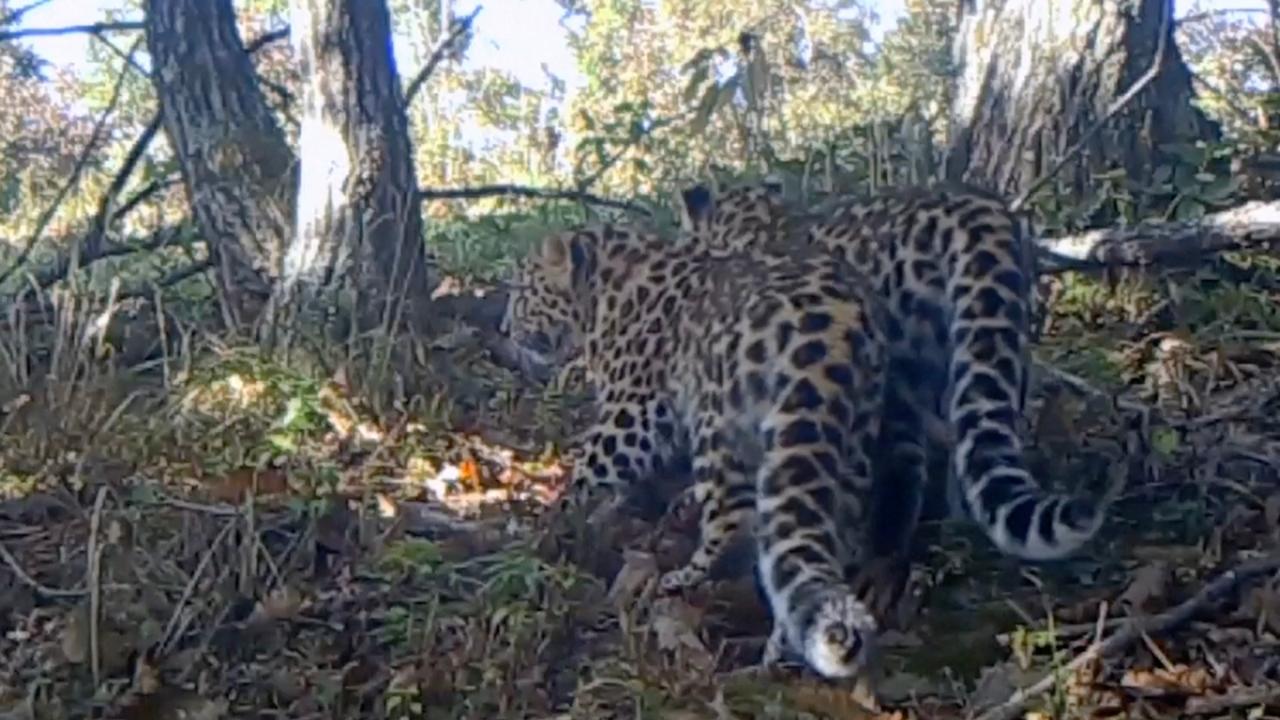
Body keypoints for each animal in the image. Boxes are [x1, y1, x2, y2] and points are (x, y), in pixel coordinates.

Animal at [499, 221, 894, 679]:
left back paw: (687, 579)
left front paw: (550, 523)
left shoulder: (634, 411)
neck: (602, 296)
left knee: (734, 516)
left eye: (523, 291)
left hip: (719, 421)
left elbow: (591, 467)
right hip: (851, 437)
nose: (504, 330)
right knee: (822, 537)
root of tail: (833, 332)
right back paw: (782, 653)